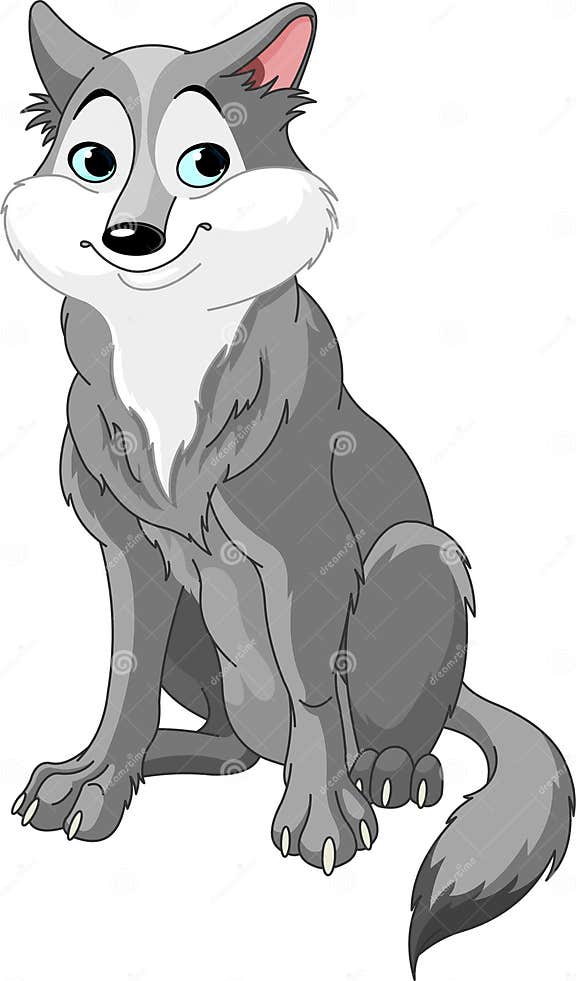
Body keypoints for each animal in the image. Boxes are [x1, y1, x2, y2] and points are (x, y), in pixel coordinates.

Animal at [4, 2, 573, 973]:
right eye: (93, 162)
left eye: (205, 163)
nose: (131, 238)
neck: (168, 347)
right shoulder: (129, 557)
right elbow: (124, 676)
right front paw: (100, 779)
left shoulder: (307, 556)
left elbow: (314, 688)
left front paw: (323, 811)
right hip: (202, 640)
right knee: (232, 745)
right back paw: (178, 752)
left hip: (412, 558)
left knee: (381, 723)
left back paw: (387, 769)